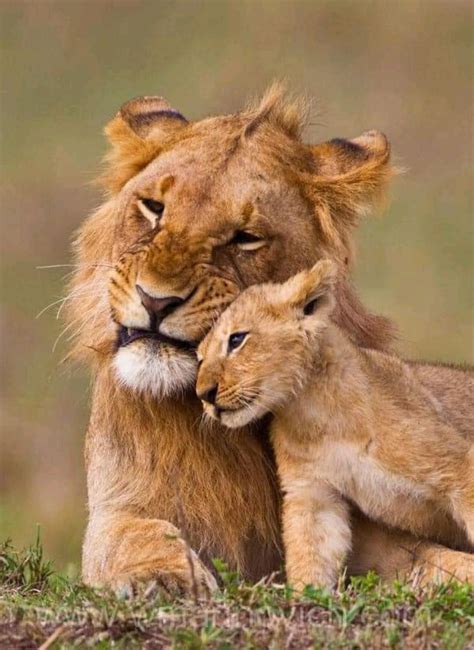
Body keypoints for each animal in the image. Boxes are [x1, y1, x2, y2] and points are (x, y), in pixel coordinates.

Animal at [196, 259, 474, 589]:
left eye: (237, 339)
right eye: (199, 358)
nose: (203, 394)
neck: (312, 411)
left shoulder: (458, 465)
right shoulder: (314, 494)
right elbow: (310, 552)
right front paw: (306, 596)